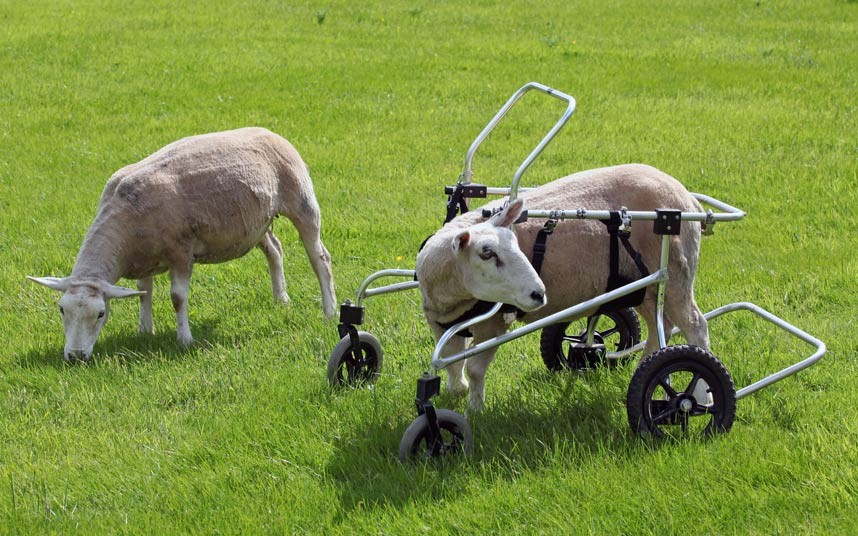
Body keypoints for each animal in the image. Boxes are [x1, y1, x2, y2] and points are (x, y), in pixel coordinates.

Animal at [28, 127, 337, 361]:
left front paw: (185, 339)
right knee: (275, 249)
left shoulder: (181, 252)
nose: (75, 356)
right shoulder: (144, 258)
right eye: (61, 310)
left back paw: (330, 310)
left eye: (101, 313)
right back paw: (280, 298)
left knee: (319, 258)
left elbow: (177, 298)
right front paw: (145, 330)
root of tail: (270, 132)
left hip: (301, 201)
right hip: (256, 223)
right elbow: (144, 292)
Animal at [416, 164, 710, 411]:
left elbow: (474, 368)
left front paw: (475, 410)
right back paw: (643, 367)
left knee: (695, 326)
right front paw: (458, 391)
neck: (452, 294)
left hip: (674, 274)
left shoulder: (493, 324)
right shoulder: (441, 322)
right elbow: (453, 360)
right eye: (486, 253)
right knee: (662, 327)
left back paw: (700, 395)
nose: (539, 293)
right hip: (644, 289)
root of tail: (685, 194)